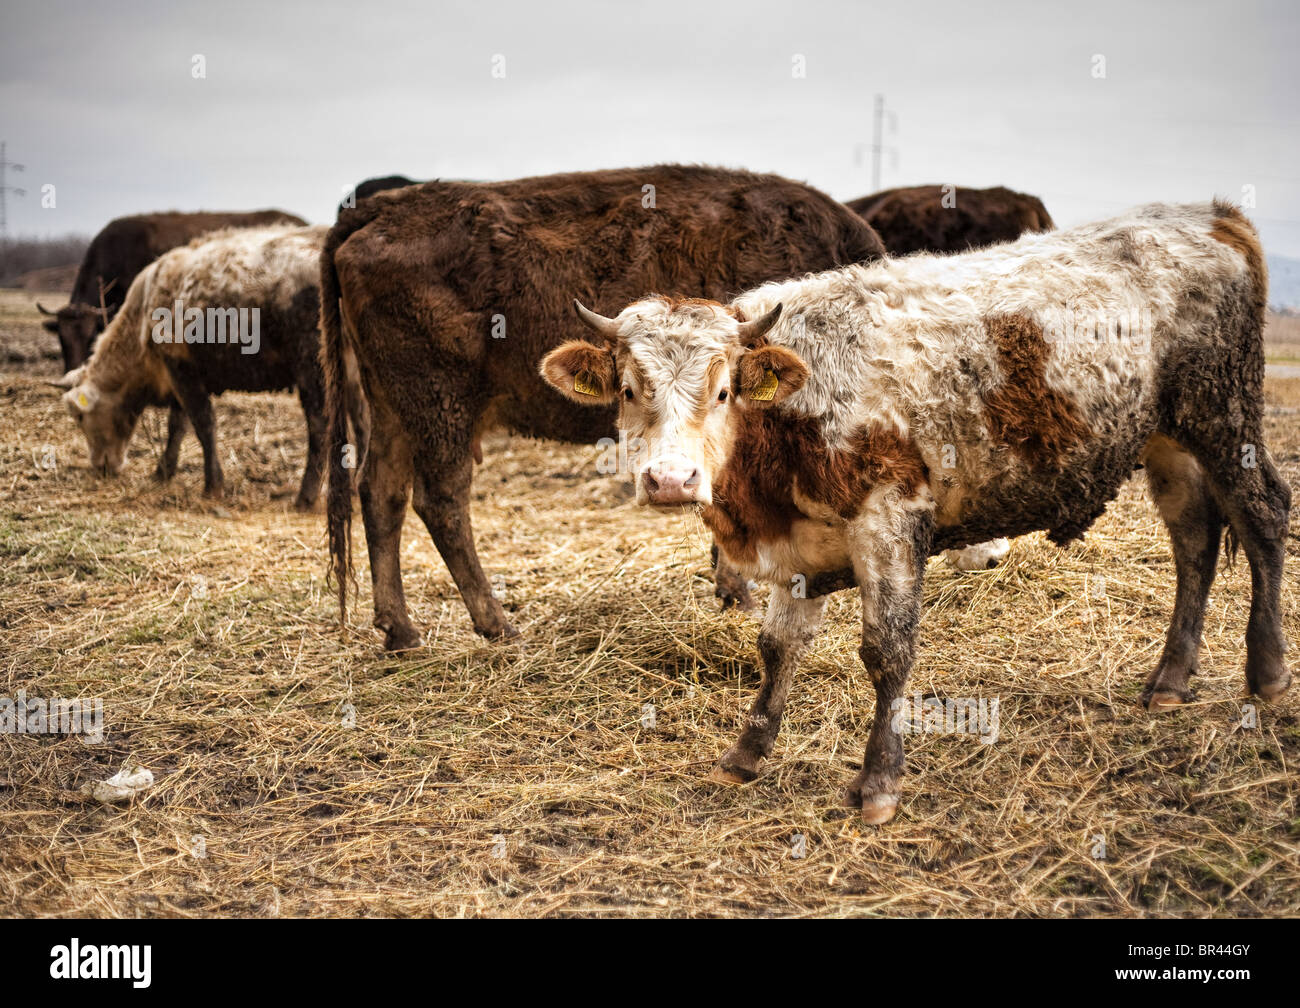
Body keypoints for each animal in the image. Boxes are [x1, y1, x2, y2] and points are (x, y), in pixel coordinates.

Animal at [53, 224, 367, 509]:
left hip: (313, 366)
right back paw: (356, 486)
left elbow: (203, 424)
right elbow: (177, 426)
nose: (101, 467)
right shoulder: (179, 374)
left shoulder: (181, 370)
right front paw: (164, 471)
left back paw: (306, 496)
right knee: (362, 421)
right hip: (351, 368)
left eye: (79, 417)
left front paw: (212, 485)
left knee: (320, 425)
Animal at [321, 165, 886, 649]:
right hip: (442, 410)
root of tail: (384, 208)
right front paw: (741, 593)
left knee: (381, 492)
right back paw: (495, 623)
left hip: (392, 408)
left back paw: (399, 630)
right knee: (441, 501)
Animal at [542, 200, 1291, 824]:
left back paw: (1267, 671)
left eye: (724, 390)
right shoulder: (798, 546)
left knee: (1264, 517)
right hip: (1166, 439)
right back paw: (1171, 679)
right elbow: (778, 647)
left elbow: (887, 650)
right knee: (1194, 539)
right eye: (629, 389)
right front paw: (746, 754)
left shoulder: (892, 520)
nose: (671, 480)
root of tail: (1208, 215)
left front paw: (878, 784)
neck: (792, 417)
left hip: (1223, 418)